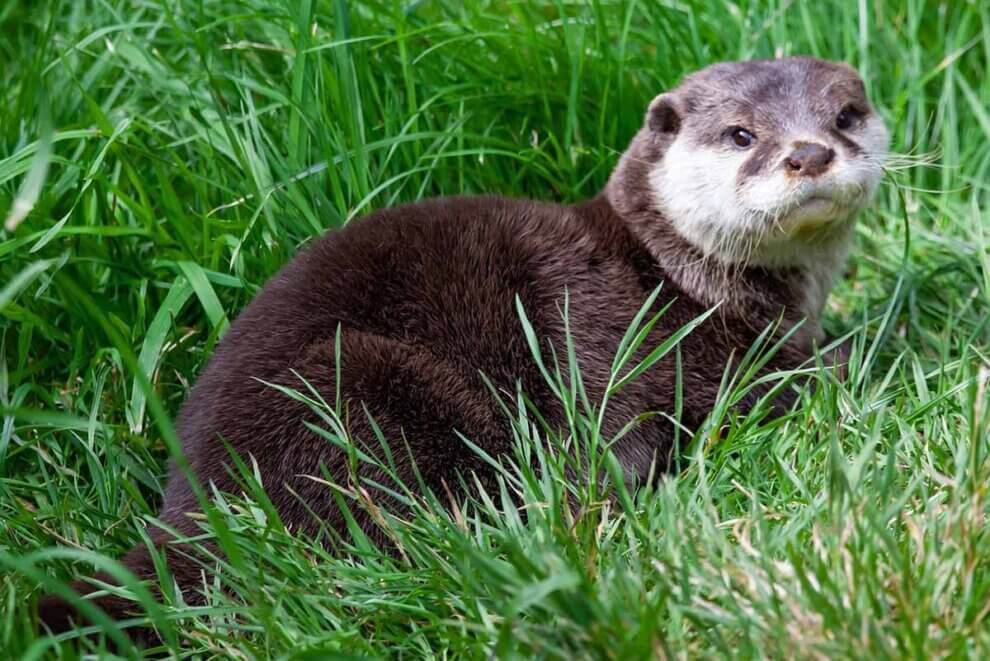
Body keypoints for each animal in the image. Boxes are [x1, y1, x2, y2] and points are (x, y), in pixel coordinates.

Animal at [37, 56, 889, 634]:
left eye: (846, 116)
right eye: (742, 134)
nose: (809, 152)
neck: (676, 273)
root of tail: (198, 506)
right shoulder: (646, 343)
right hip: (359, 387)